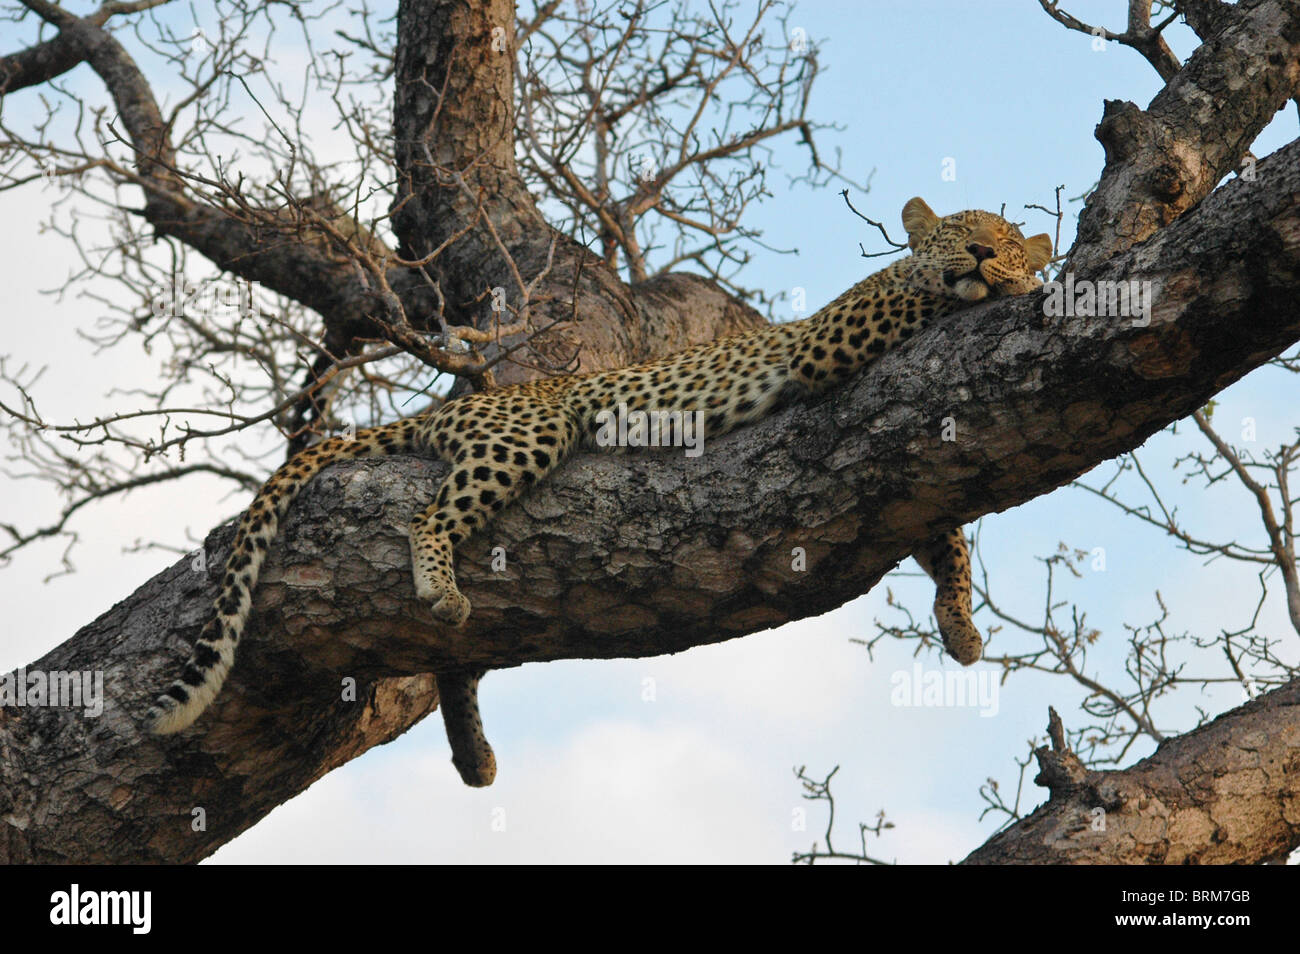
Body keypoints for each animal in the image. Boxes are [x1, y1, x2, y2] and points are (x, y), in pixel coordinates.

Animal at [144, 196, 1052, 787]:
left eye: (1006, 237)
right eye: (961, 233)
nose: (985, 255)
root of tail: (460, 400)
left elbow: (946, 540)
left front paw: (962, 630)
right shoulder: (831, 340)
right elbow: (915, 298)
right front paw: (1002, 288)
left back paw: (475, 755)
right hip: (525, 436)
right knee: (425, 514)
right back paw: (440, 589)